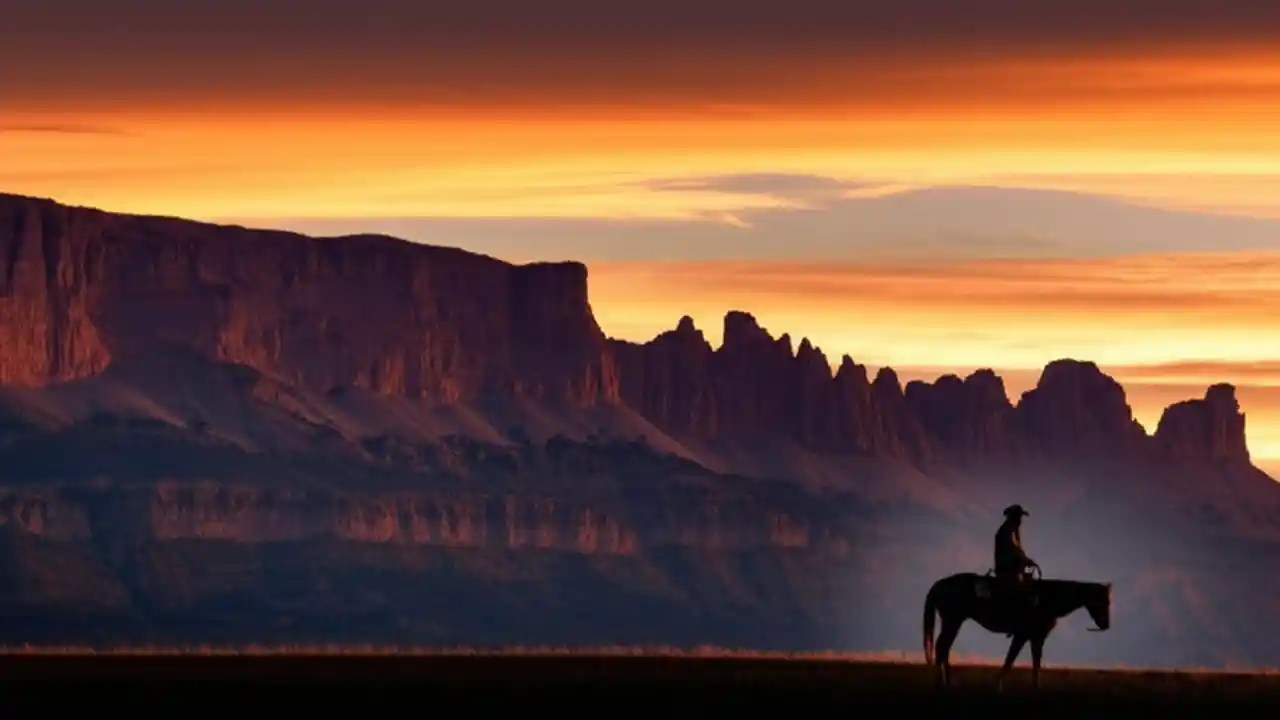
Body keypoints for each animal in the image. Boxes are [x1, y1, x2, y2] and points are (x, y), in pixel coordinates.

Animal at [922, 569, 1111, 691]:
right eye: (1102, 602)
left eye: (1108, 602)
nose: (1106, 625)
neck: (1046, 599)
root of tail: (939, 584)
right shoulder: (1023, 636)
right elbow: (1011, 660)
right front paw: (999, 685)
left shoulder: (1036, 638)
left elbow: (1035, 662)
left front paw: (1036, 687)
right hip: (952, 621)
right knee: (942, 646)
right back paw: (940, 683)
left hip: (953, 622)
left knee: (944, 648)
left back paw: (946, 682)